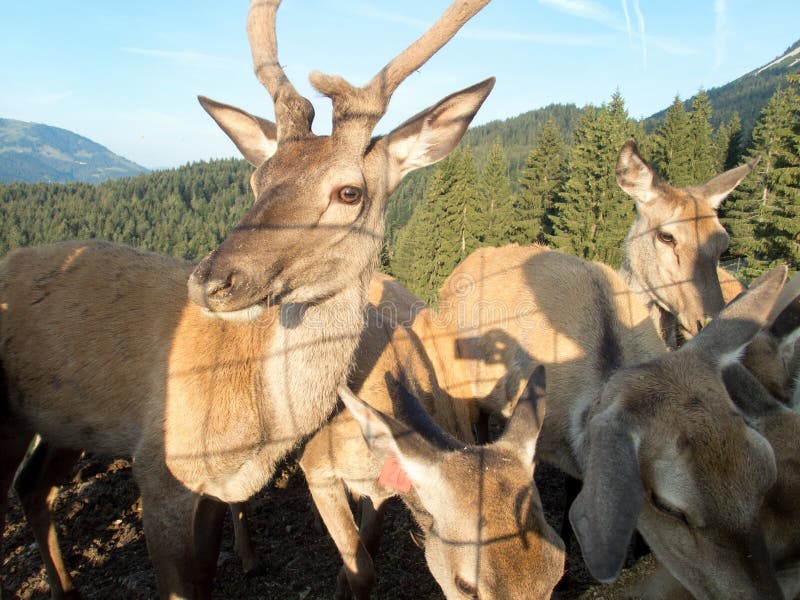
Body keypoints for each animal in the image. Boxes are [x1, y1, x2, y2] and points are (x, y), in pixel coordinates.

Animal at [0, 0, 495, 597]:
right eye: (258, 179)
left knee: (33, 486)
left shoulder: (216, 487)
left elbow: (208, 572)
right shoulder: (157, 472)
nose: (211, 282)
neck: (250, 433)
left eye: (349, 192)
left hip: (60, 423)